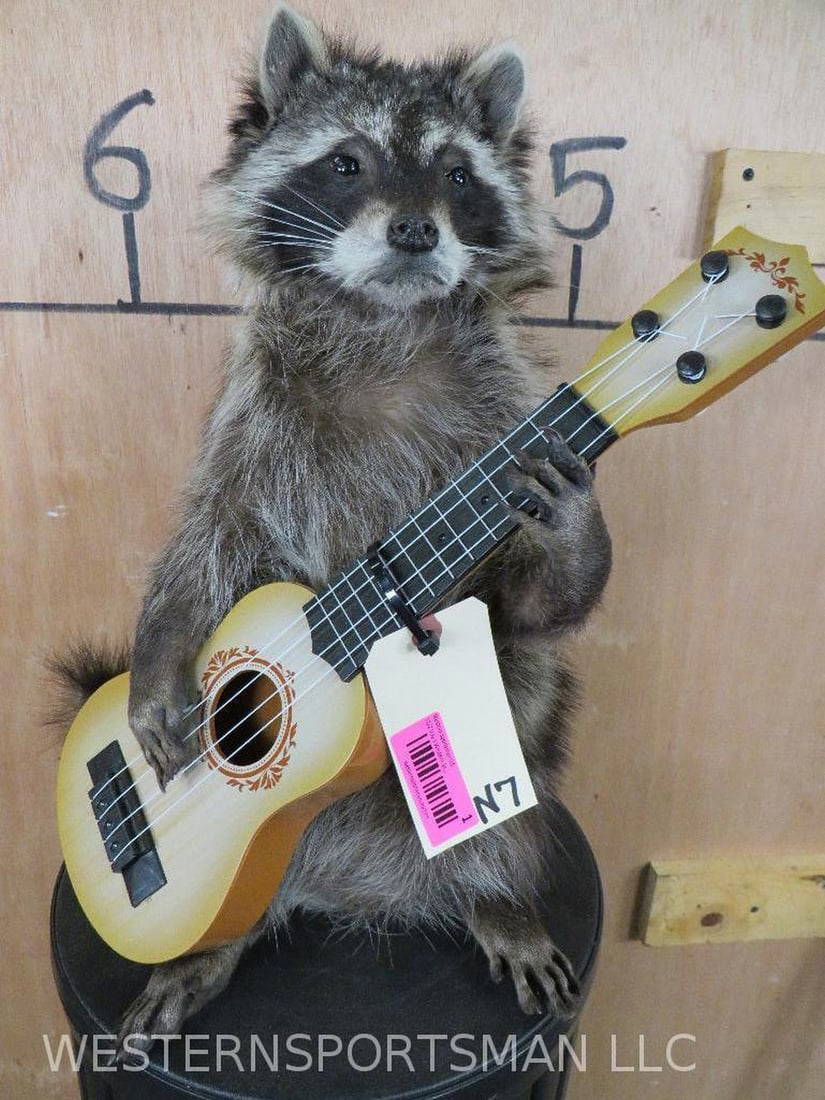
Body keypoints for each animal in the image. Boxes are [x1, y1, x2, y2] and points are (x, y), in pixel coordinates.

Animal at [63, 4, 612, 1051]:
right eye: (347, 163)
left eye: (454, 174)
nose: (414, 228)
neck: (380, 325)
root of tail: (352, 889)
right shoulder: (251, 417)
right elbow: (205, 540)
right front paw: (159, 649)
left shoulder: (500, 410)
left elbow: (527, 615)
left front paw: (570, 535)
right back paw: (214, 947)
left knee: (522, 699)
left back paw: (493, 892)